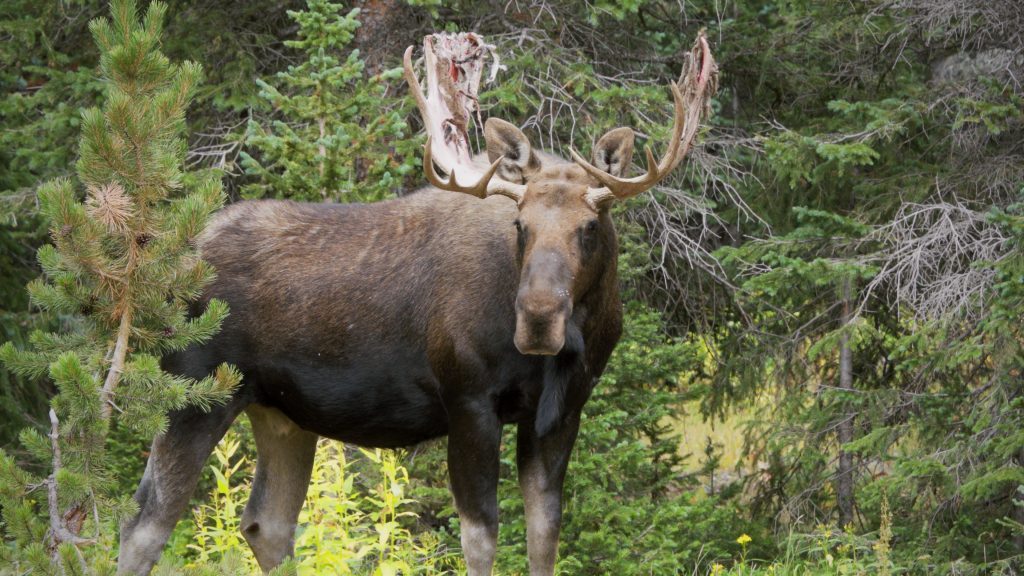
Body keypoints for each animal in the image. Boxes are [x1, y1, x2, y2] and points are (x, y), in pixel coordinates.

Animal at [116, 31, 716, 576]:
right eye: (520, 224)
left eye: (590, 226)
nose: (538, 318)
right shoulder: (468, 399)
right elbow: (480, 537)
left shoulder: (564, 410)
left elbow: (545, 535)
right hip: (193, 392)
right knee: (143, 525)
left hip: (280, 410)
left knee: (266, 522)